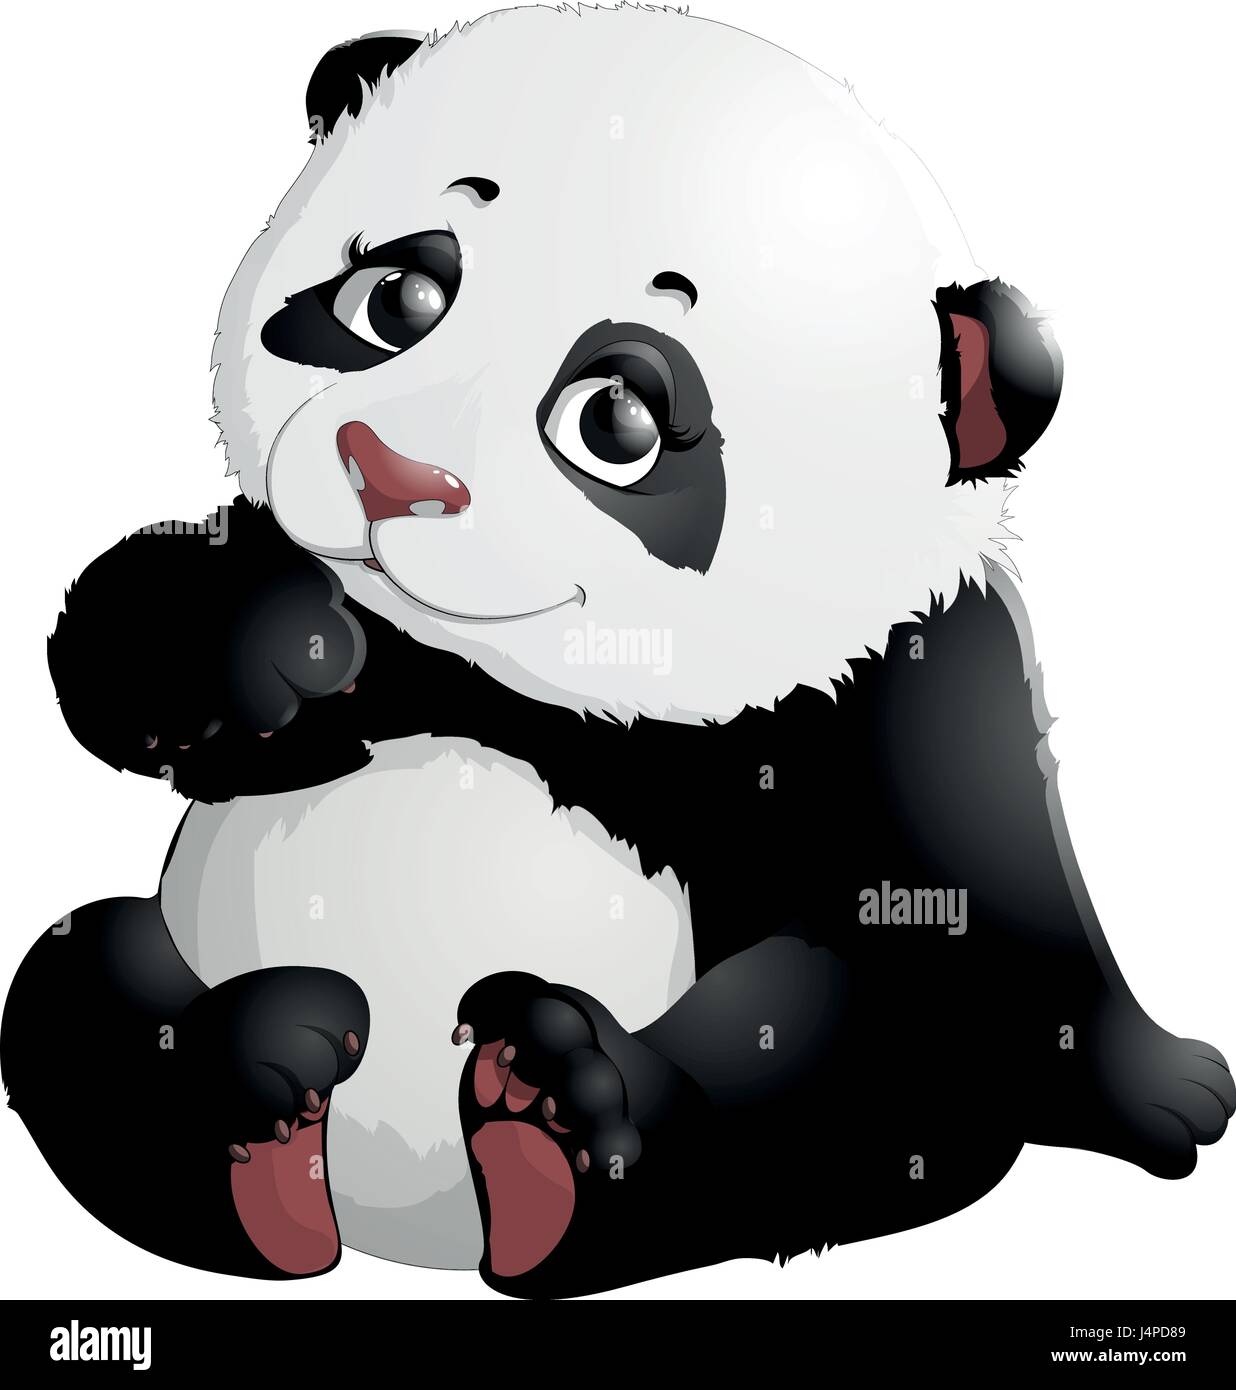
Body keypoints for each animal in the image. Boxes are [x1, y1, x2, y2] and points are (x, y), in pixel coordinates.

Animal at [2, 4, 1232, 1299]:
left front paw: (1161, 1086)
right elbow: (124, 639)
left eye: (619, 418)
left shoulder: (901, 687)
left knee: (850, 1071)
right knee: (75, 985)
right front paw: (276, 645)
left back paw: (555, 1118)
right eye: (399, 295)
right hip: (151, 968)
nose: (389, 473)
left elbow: (998, 910)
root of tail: (405, 1233)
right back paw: (257, 1095)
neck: (503, 683)